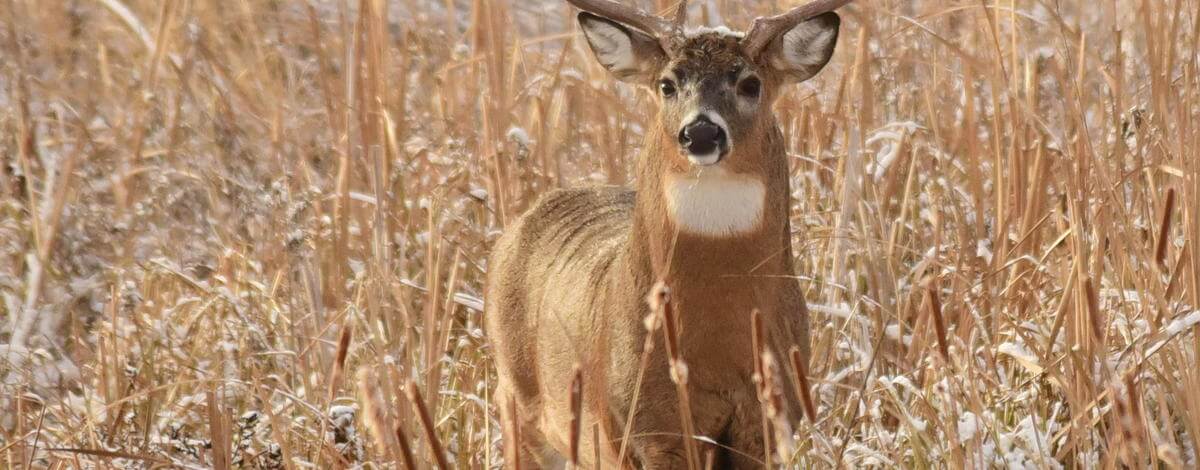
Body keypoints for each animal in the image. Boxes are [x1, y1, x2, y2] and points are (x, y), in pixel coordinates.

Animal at [484, 0, 849, 467]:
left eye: (750, 84)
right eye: (667, 84)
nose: (701, 132)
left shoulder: (767, 424)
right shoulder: (643, 426)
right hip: (518, 402)